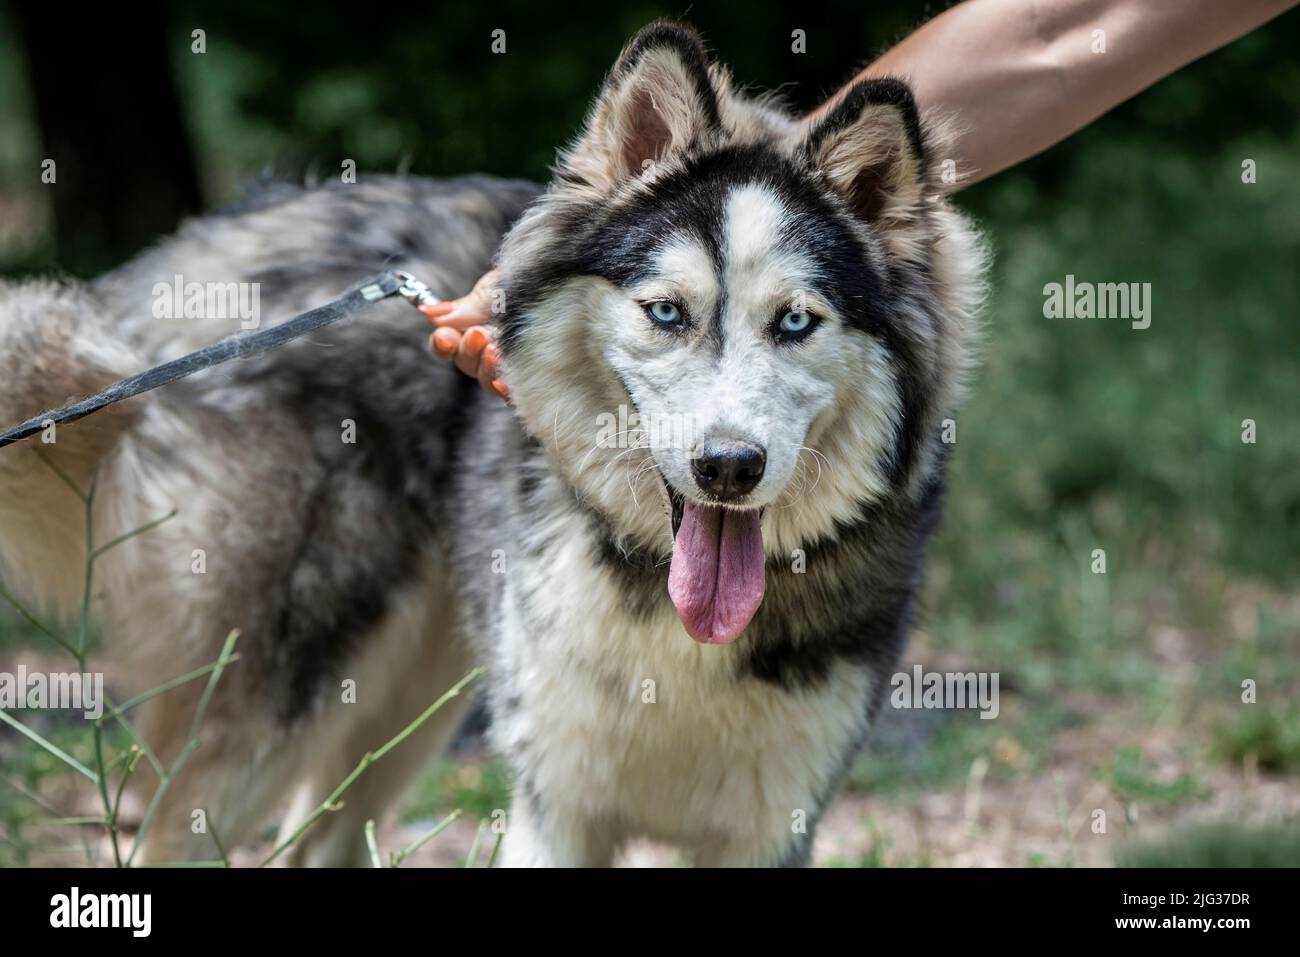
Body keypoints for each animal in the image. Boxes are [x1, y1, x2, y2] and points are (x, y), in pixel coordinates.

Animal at [0, 22, 984, 866]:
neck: (667, 612)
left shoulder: (773, 826)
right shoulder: (556, 811)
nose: (728, 468)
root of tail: (207, 247)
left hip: (409, 695)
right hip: (259, 720)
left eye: (795, 322)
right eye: (667, 312)